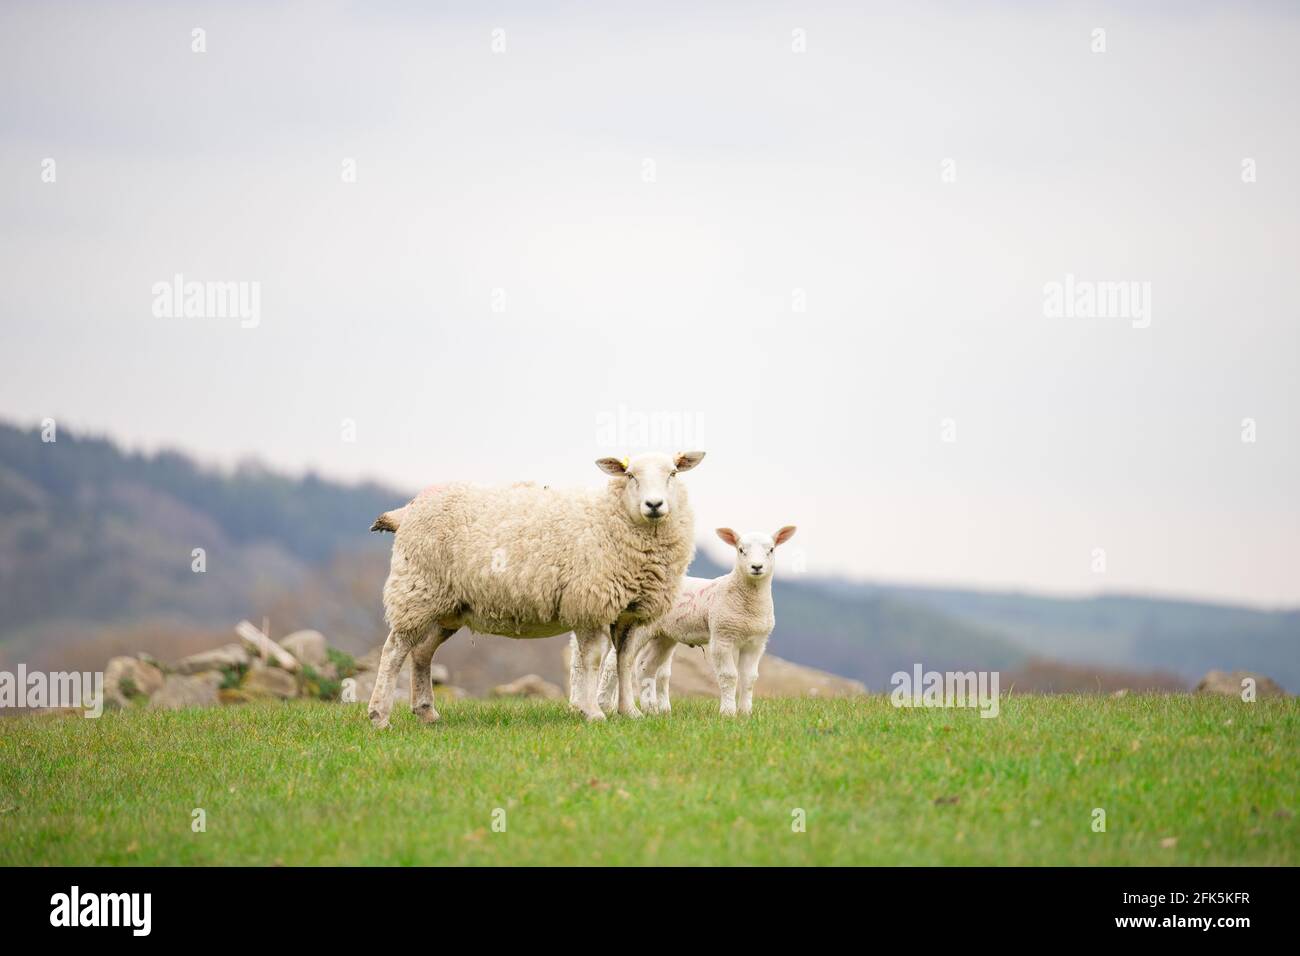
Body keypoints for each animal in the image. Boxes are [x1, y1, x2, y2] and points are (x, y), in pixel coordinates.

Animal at [366, 451, 706, 727]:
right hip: (416, 591)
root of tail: (407, 510)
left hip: (448, 607)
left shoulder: (631, 612)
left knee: (422, 652)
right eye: (630, 475)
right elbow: (593, 660)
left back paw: (426, 712)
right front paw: (594, 713)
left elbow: (624, 661)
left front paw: (629, 712)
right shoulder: (589, 603)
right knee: (394, 650)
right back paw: (379, 715)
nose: (654, 505)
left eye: (673, 473)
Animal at [620, 525, 796, 717]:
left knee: (645, 666)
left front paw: (745, 713)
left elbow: (749, 678)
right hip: (638, 629)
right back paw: (619, 707)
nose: (756, 567)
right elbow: (729, 675)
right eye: (741, 550)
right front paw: (728, 712)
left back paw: (652, 709)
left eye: (771, 550)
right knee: (618, 663)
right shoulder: (722, 636)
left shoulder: (756, 643)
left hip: (664, 636)